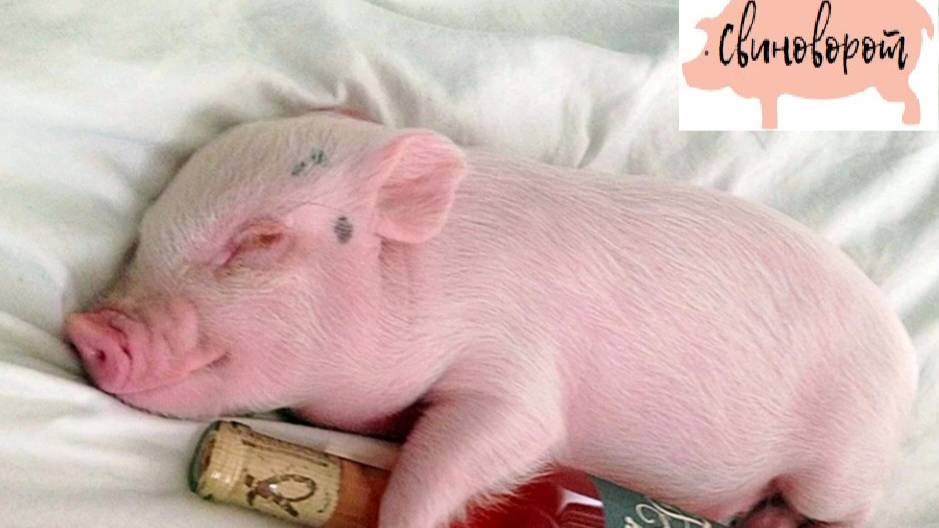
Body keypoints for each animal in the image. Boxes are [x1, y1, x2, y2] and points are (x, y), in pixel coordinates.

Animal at [66, 110, 917, 528]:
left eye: (259, 239)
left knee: (847, 512)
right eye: (143, 233)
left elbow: (474, 449)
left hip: (844, 460)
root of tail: (904, 356)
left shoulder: (517, 373)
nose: (87, 331)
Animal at [683, 0, 934, 128]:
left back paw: (909, 120)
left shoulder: (768, 89)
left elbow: (769, 112)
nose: (685, 71)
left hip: (888, 81)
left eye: (706, 52)